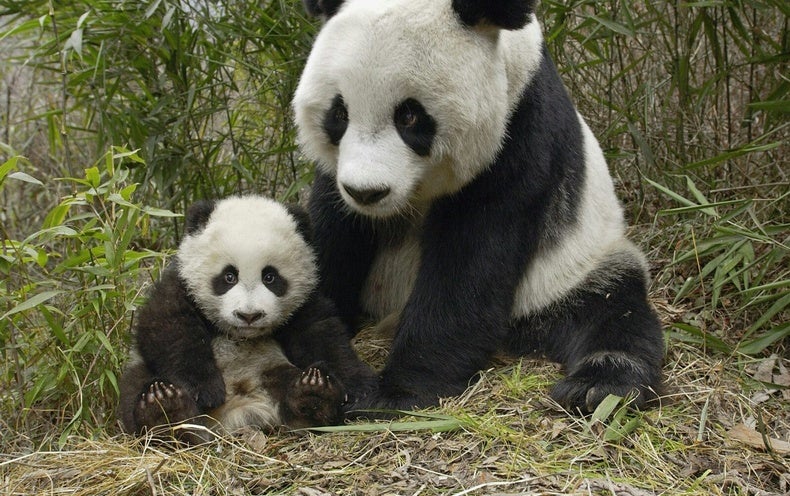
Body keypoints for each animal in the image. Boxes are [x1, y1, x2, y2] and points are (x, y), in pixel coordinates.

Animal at [118, 195, 376, 441]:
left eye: (270, 277)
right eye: (229, 276)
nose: (249, 315)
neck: (240, 336)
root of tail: (237, 413)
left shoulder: (304, 302)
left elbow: (322, 335)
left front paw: (360, 387)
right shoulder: (180, 284)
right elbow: (168, 328)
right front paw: (205, 390)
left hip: (270, 368)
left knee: (290, 384)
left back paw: (314, 395)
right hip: (143, 372)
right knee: (135, 387)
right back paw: (164, 411)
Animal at [292, 0, 664, 414]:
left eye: (409, 115)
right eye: (339, 114)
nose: (366, 192)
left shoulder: (520, 134)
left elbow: (470, 263)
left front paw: (396, 393)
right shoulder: (337, 179)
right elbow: (332, 236)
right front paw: (322, 367)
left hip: (574, 268)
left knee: (613, 310)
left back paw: (598, 386)